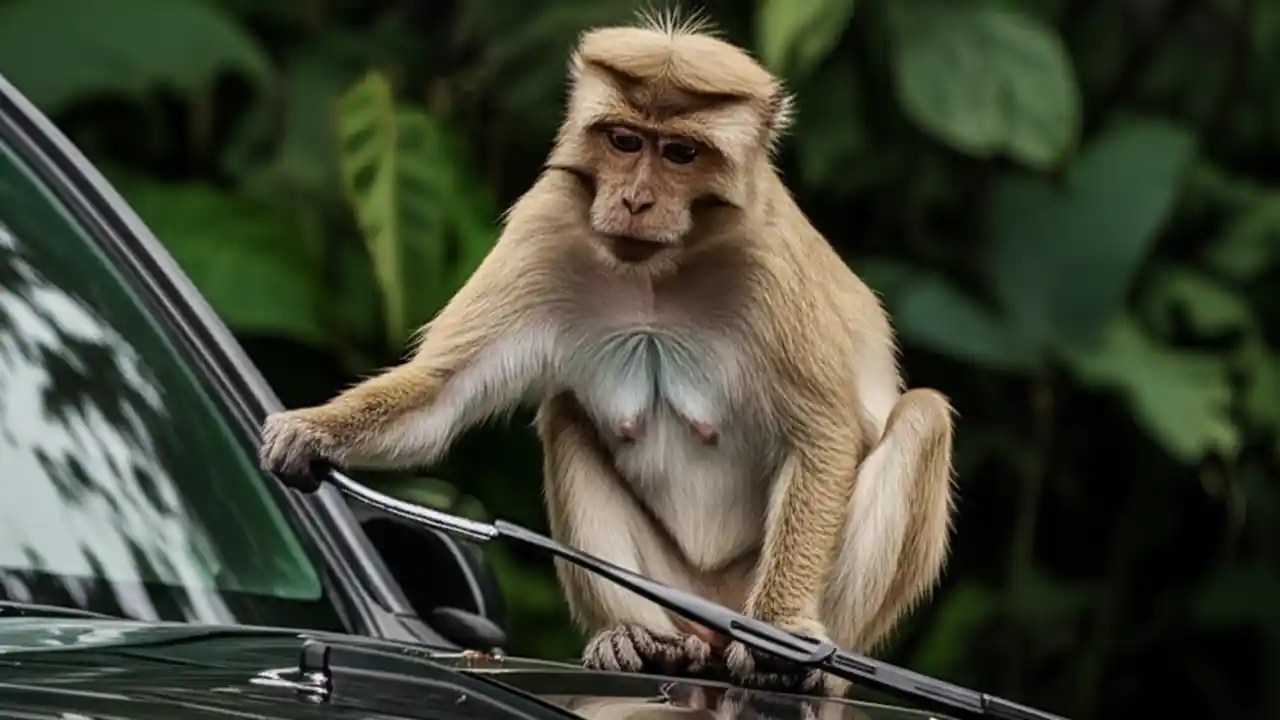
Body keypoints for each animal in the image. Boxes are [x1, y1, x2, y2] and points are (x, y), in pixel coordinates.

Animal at [258, 8, 956, 695]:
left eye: (680, 153)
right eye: (624, 140)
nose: (636, 199)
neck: (657, 269)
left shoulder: (768, 258)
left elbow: (823, 432)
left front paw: (780, 630)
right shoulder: (548, 222)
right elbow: (442, 391)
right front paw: (313, 433)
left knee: (922, 417)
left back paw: (804, 669)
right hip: (673, 589)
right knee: (565, 415)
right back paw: (641, 641)